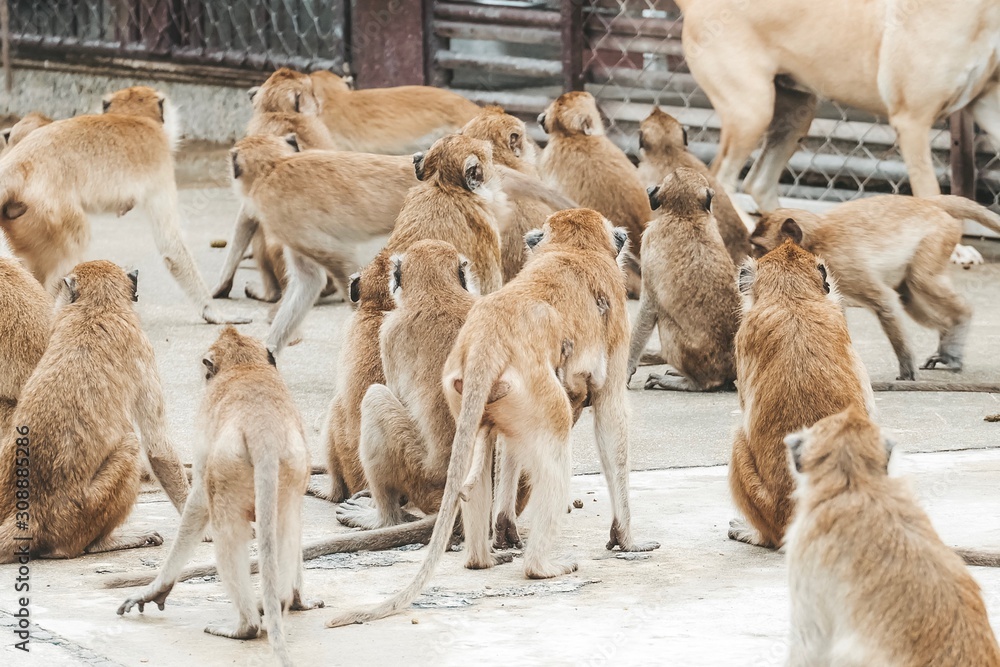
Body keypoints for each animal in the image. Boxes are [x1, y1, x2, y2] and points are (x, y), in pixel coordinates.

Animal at [0, 87, 245, 324]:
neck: (133, 116)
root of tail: (16, 165)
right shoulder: (160, 161)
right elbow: (170, 244)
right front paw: (213, 312)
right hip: (51, 212)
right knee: (76, 242)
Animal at [118, 326, 322, 667]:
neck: (245, 366)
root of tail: (263, 429)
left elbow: (198, 502)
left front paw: (157, 588)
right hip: (292, 466)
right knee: (286, 529)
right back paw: (284, 601)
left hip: (229, 468)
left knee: (228, 534)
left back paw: (246, 626)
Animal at [627, 168, 740, 392]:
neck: (686, 215)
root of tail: (729, 369)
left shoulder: (649, 238)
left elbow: (648, 308)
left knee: (663, 317)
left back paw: (693, 383)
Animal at [748, 195, 1000, 383]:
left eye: (760, 248)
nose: (754, 261)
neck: (816, 240)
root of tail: (928, 202)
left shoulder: (842, 265)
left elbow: (885, 302)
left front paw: (907, 371)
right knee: (908, 295)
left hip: (937, 237)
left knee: (921, 281)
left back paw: (958, 328)